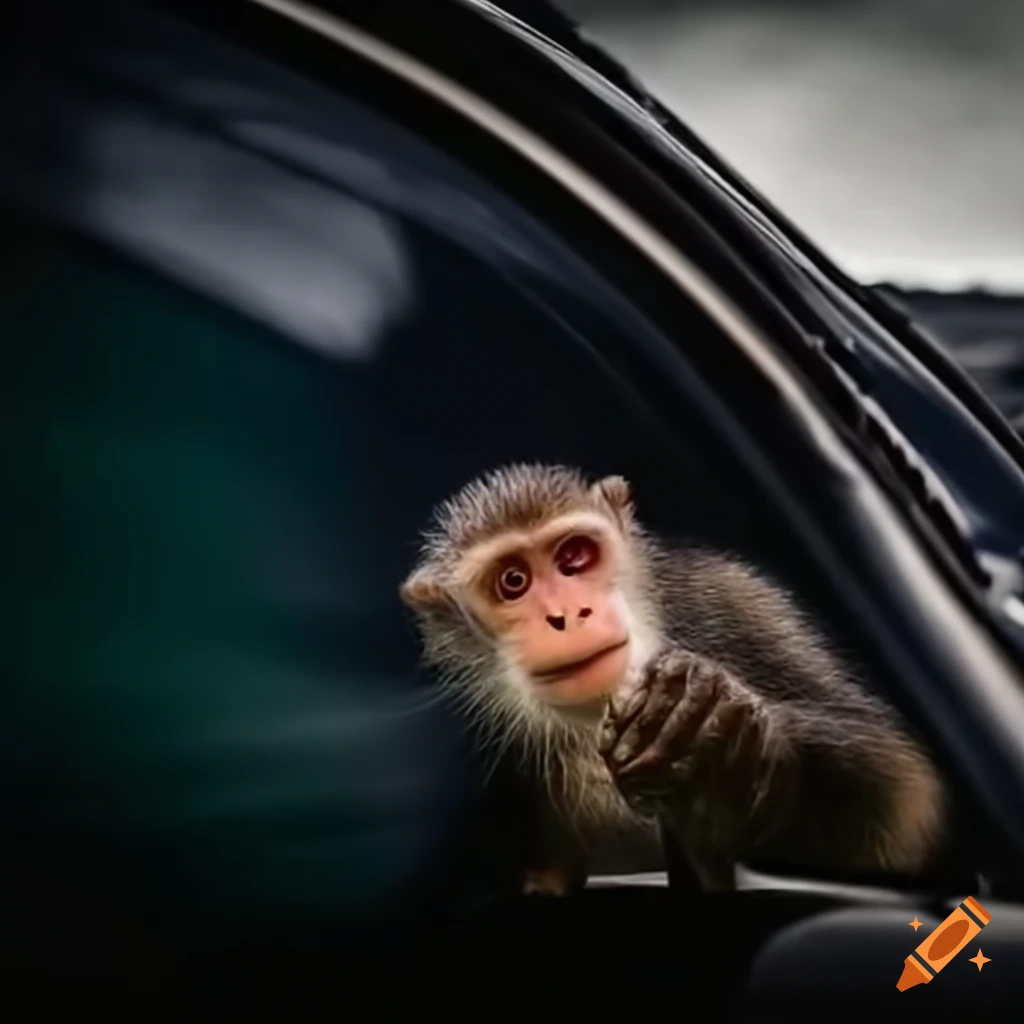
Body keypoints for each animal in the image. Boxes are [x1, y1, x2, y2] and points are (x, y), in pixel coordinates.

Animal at [399, 463, 947, 894]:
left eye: (573, 556)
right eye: (513, 581)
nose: (568, 615)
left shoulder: (733, 600)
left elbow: (904, 792)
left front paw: (710, 733)